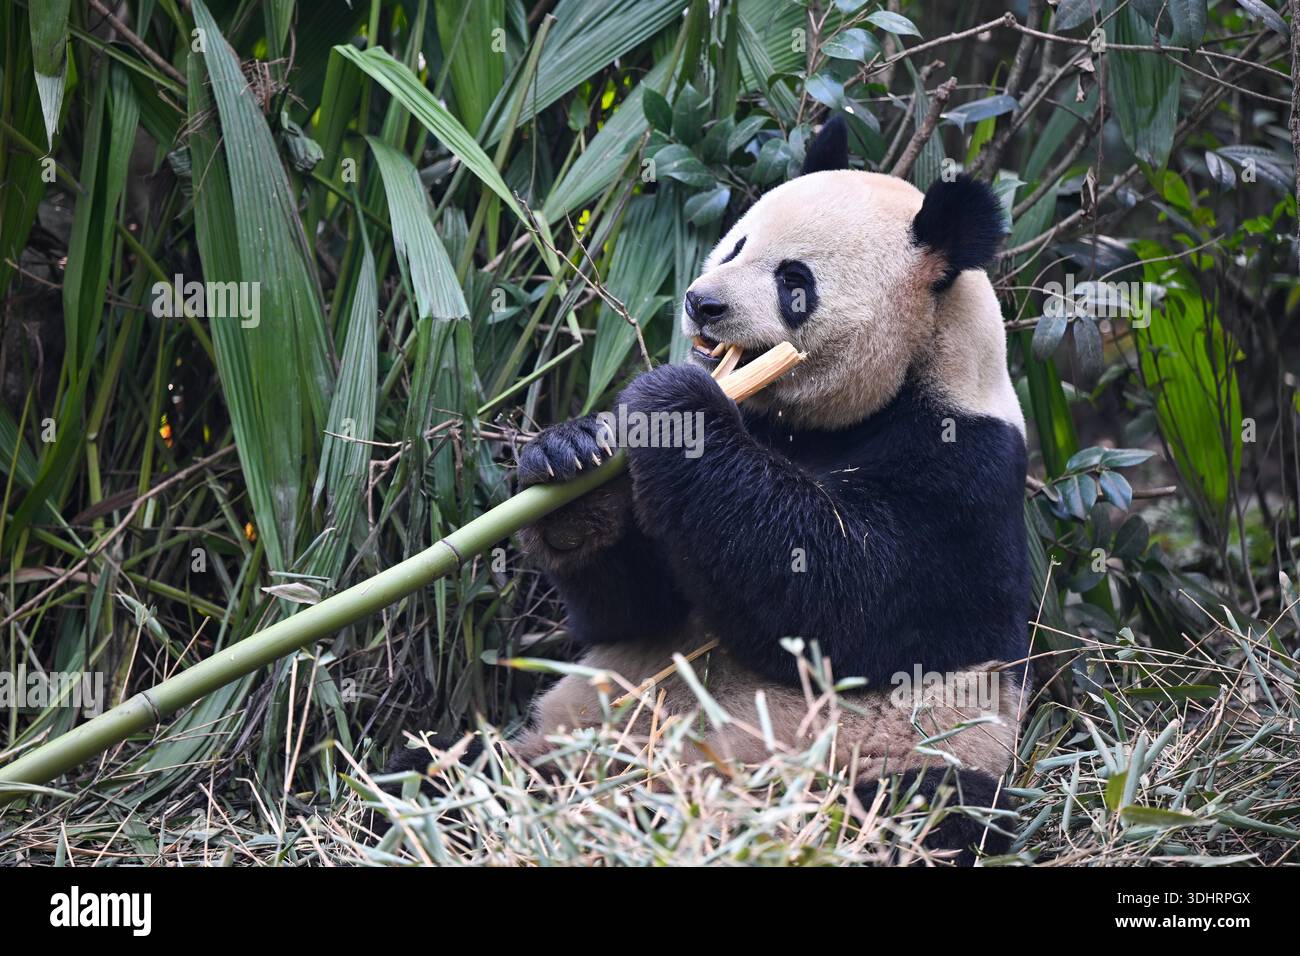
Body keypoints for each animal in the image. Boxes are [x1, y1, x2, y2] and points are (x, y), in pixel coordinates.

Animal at [401, 117, 1032, 862]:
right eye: (736, 244)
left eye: (795, 280)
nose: (702, 302)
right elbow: (634, 609)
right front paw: (572, 459)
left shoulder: (961, 474)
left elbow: (838, 603)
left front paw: (676, 403)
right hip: (572, 743)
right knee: (449, 770)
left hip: (900, 755)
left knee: (924, 810)